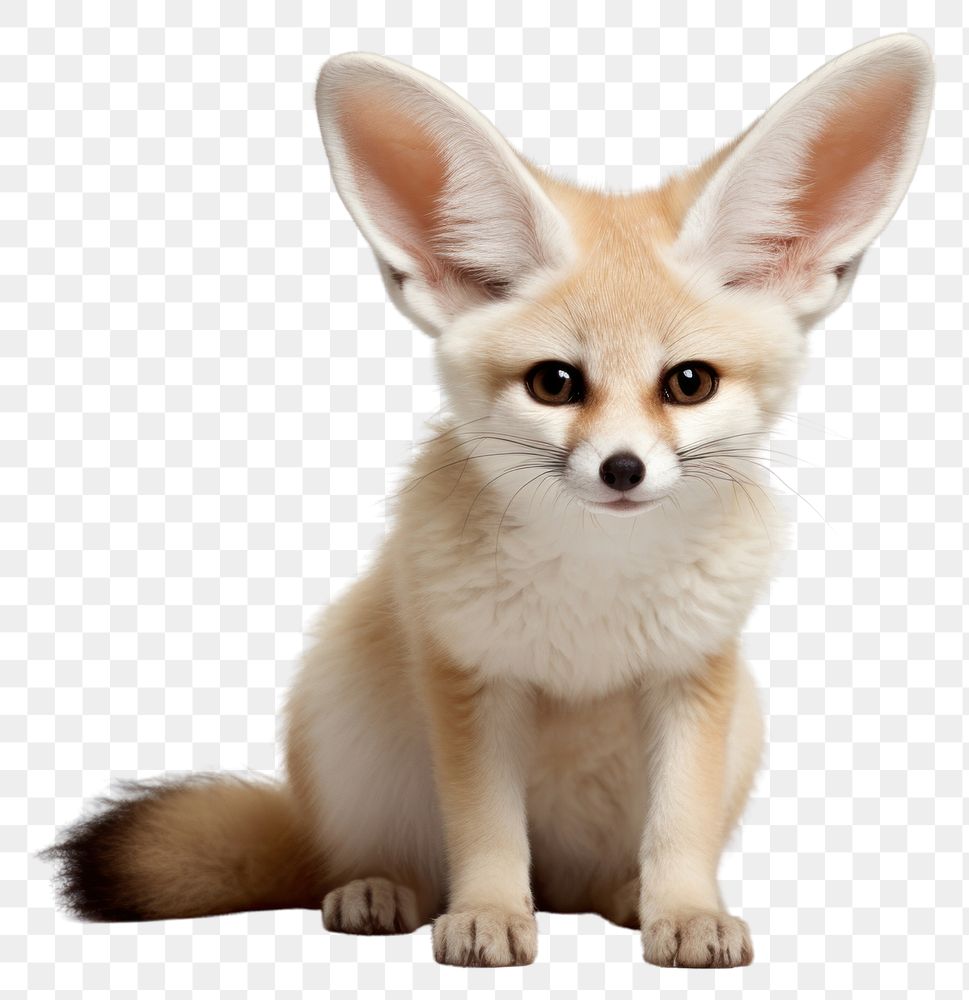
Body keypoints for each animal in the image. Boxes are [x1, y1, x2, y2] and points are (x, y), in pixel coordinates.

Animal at [44, 35, 933, 968]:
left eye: (687, 383)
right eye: (555, 384)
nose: (622, 469)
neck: (594, 586)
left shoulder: (693, 677)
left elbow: (678, 830)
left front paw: (686, 911)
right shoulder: (471, 679)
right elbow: (486, 829)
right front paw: (488, 913)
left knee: (600, 876)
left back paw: (625, 897)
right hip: (339, 712)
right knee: (366, 857)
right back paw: (378, 890)